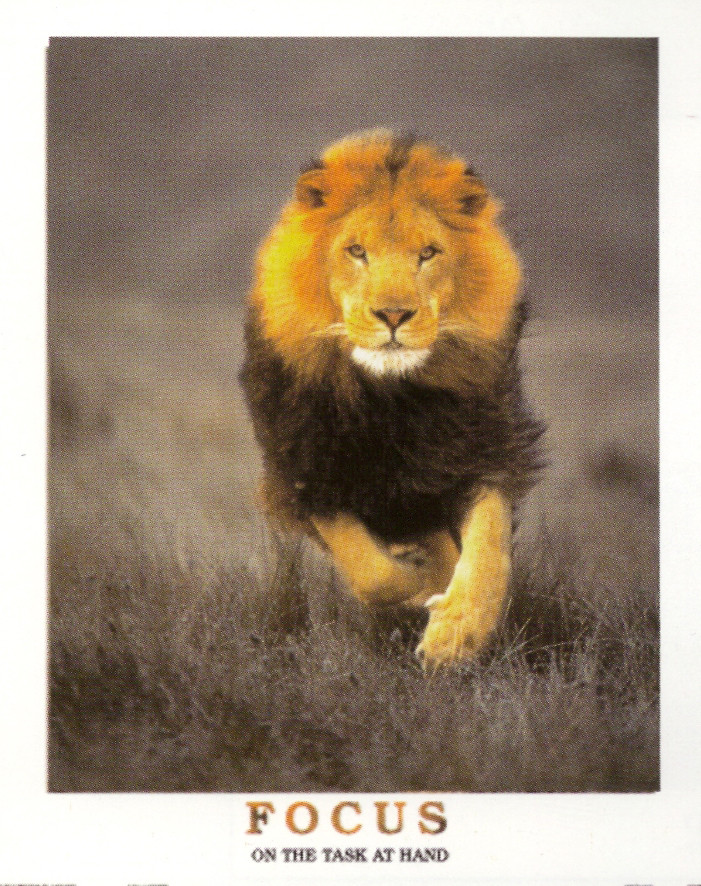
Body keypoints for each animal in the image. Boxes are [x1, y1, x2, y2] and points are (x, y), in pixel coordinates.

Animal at [240, 130, 544, 668]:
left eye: (428, 253)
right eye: (356, 251)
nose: (394, 315)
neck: (389, 401)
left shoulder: (480, 453)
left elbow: (488, 547)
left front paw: (457, 634)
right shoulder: (306, 471)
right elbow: (374, 573)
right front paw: (418, 585)